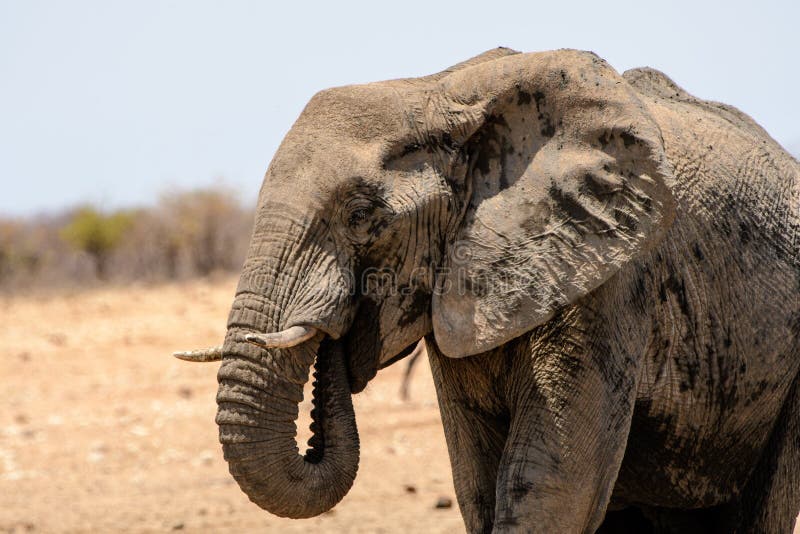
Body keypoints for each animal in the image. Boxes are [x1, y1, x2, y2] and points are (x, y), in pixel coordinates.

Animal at [175, 48, 800, 532]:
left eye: (361, 215)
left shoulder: (611, 280)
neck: (438, 90)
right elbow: (477, 482)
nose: (337, 334)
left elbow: (548, 488)